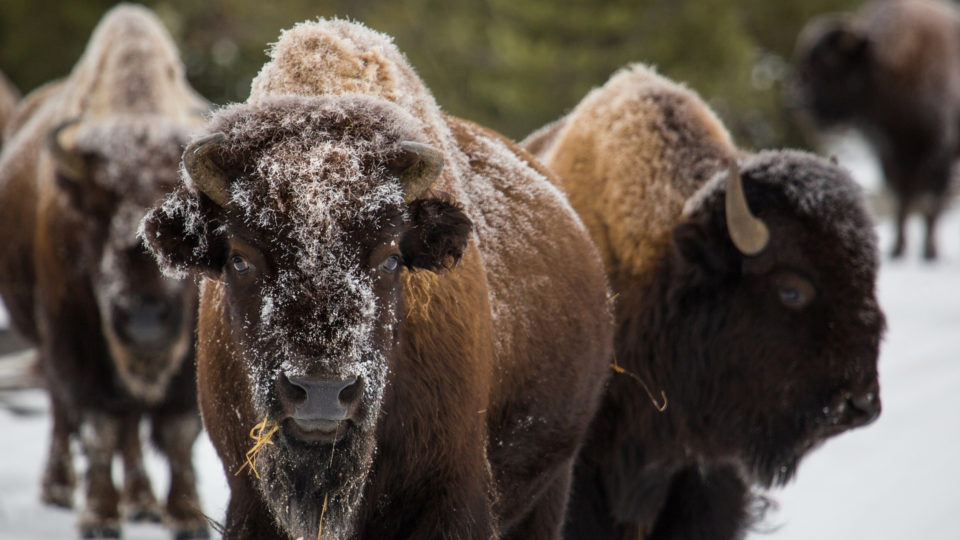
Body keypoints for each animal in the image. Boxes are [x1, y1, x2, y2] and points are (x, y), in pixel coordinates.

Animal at [0, 6, 209, 538]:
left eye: (188, 214)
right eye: (94, 212)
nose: (145, 320)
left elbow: (177, 429)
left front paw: (186, 516)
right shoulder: (75, 335)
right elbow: (97, 426)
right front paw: (98, 516)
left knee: (131, 423)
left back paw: (142, 501)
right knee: (65, 408)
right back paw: (60, 488)